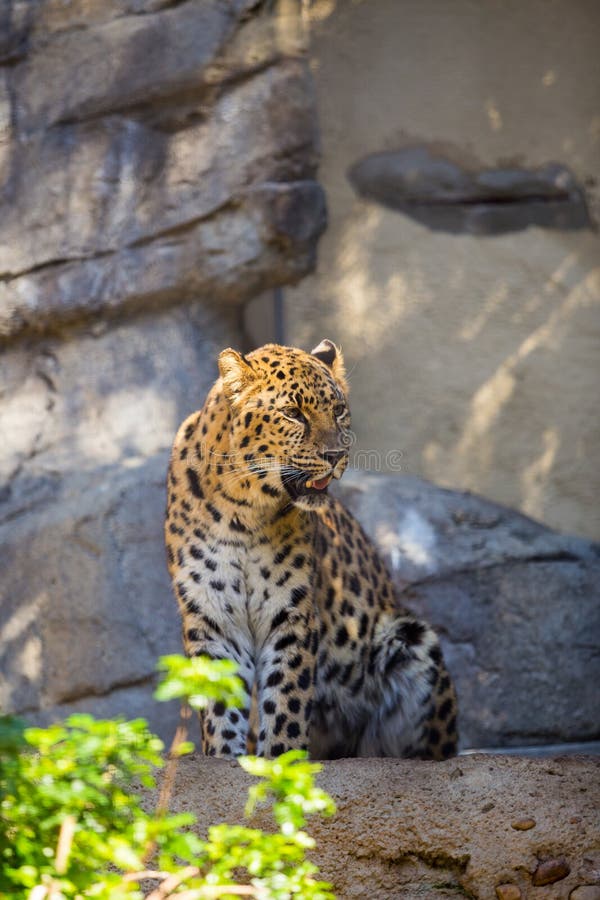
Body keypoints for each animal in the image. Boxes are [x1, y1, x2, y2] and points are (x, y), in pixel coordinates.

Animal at [165, 339, 458, 760]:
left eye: (338, 411)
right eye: (293, 413)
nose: (335, 456)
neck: (241, 509)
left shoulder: (291, 614)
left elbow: (286, 703)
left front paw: (280, 765)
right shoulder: (212, 614)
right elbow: (220, 704)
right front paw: (223, 760)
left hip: (408, 637)